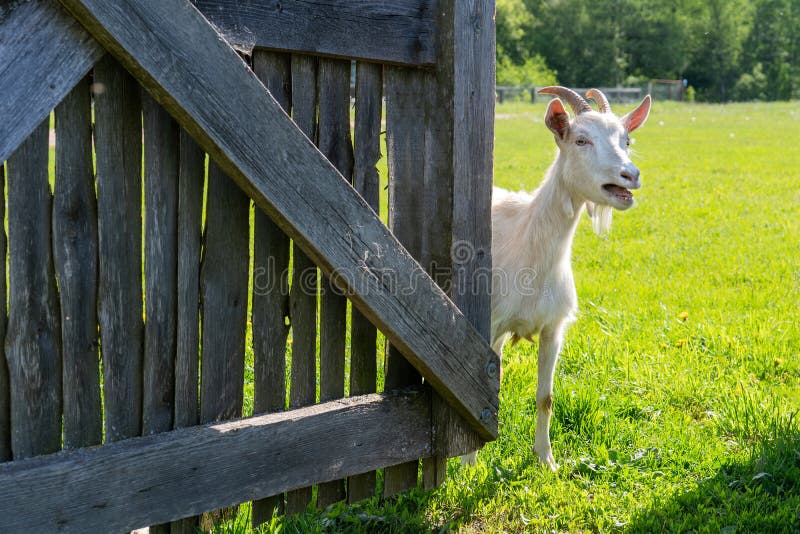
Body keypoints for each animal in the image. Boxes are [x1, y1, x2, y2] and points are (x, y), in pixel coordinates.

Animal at [484, 87, 651, 471]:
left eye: (627, 140)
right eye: (581, 140)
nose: (630, 175)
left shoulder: (553, 328)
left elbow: (545, 397)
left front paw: (546, 459)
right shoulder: (489, 324)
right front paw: (470, 462)